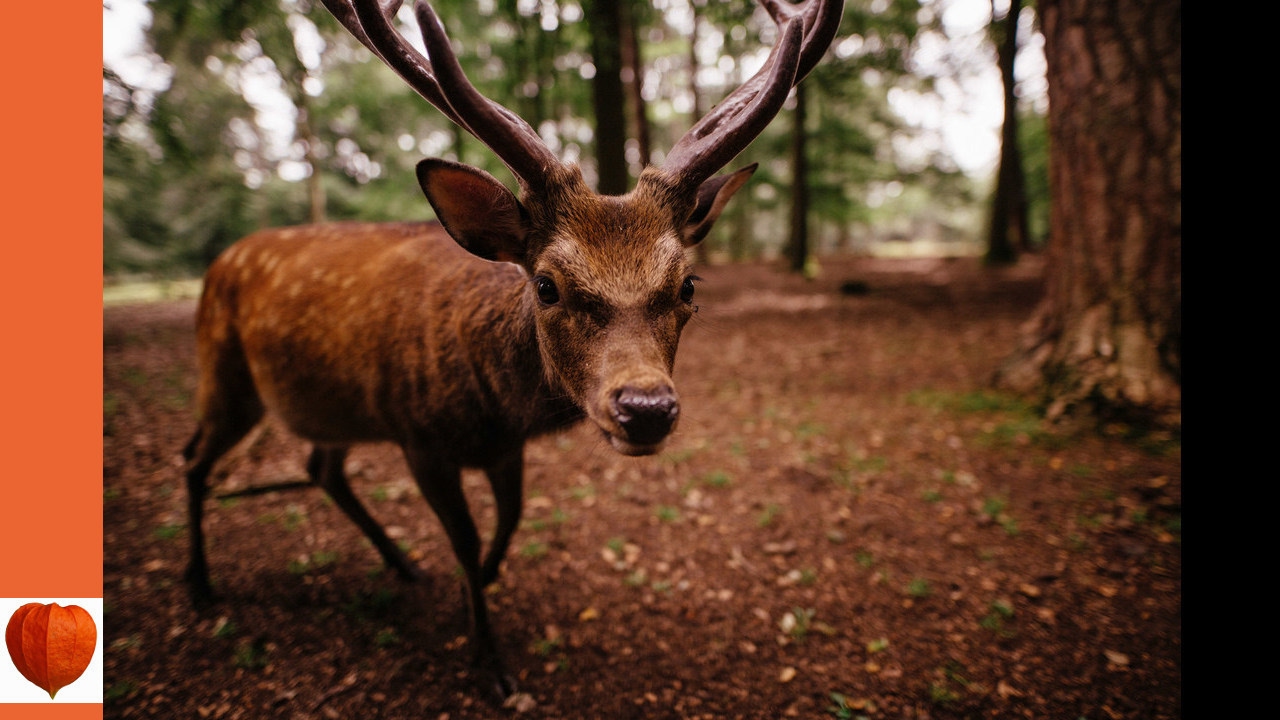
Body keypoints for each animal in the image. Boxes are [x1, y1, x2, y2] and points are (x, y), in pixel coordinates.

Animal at [181, 0, 843, 698]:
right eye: (546, 284)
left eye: (688, 284)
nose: (645, 408)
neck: (489, 407)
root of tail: (219, 262)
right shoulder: (418, 438)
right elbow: (468, 541)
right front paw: (489, 658)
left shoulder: (504, 449)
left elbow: (511, 519)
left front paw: (484, 587)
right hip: (223, 374)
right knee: (195, 457)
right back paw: (199, 583)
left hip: (326, 405)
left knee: (320, 468)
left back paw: (403, 566)